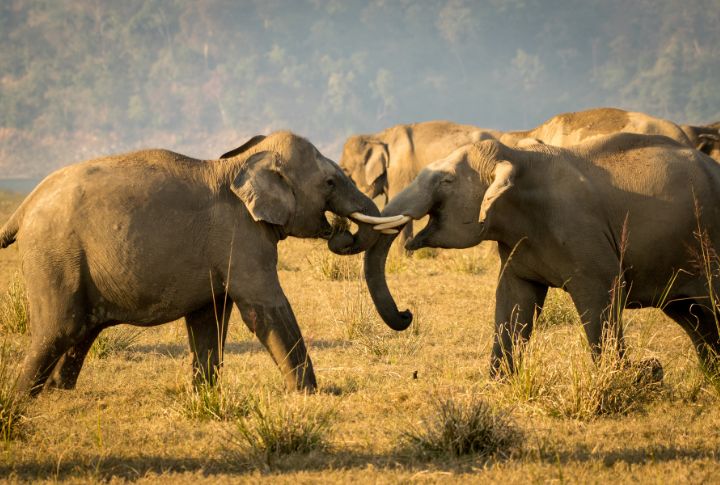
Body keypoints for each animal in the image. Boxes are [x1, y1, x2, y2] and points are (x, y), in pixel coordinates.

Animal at [0, 131, 400, 396]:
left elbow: (210, 317)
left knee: (82, 331)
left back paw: (57, 394)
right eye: (330, 181)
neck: (239, 163)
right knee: (59, 329)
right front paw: (309, 394)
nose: (339, 230)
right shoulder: (242, 237)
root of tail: (24, 206)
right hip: (55, 257)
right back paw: (23, 401)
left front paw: (205, 395)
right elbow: (265, 308)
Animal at [364, 133, 720, 378]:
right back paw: (710, 376)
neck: (516, 156)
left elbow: (600, 294)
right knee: (693, 318)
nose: (406, 314)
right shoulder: (518, 244)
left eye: (447, 181)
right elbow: (513, 299)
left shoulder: (582, 233)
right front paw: (500, 383)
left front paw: (621, 376)